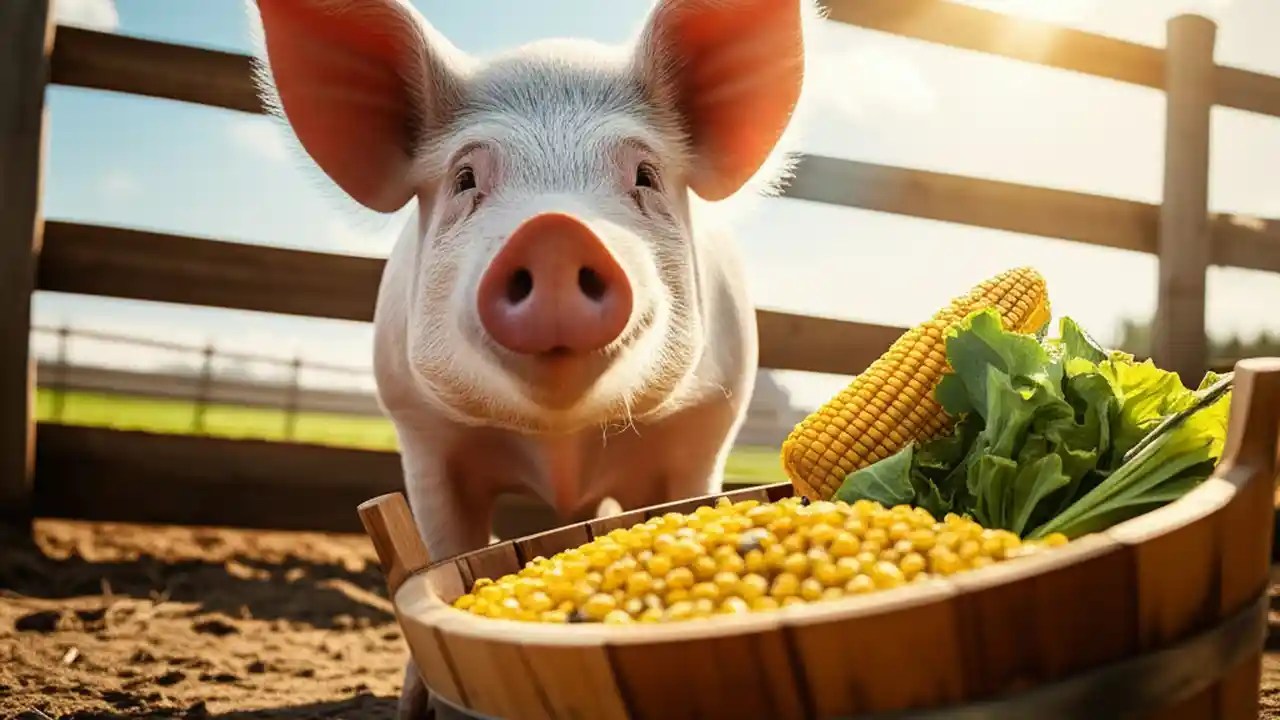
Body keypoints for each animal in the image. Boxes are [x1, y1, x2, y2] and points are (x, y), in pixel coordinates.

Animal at [247, 0, 816, 715]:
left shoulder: (707, 427)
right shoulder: (423, 435)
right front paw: (419, 704)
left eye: (645, 176)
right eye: (465, 178)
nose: (554, 231)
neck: (561, 443)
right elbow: (446, 544)